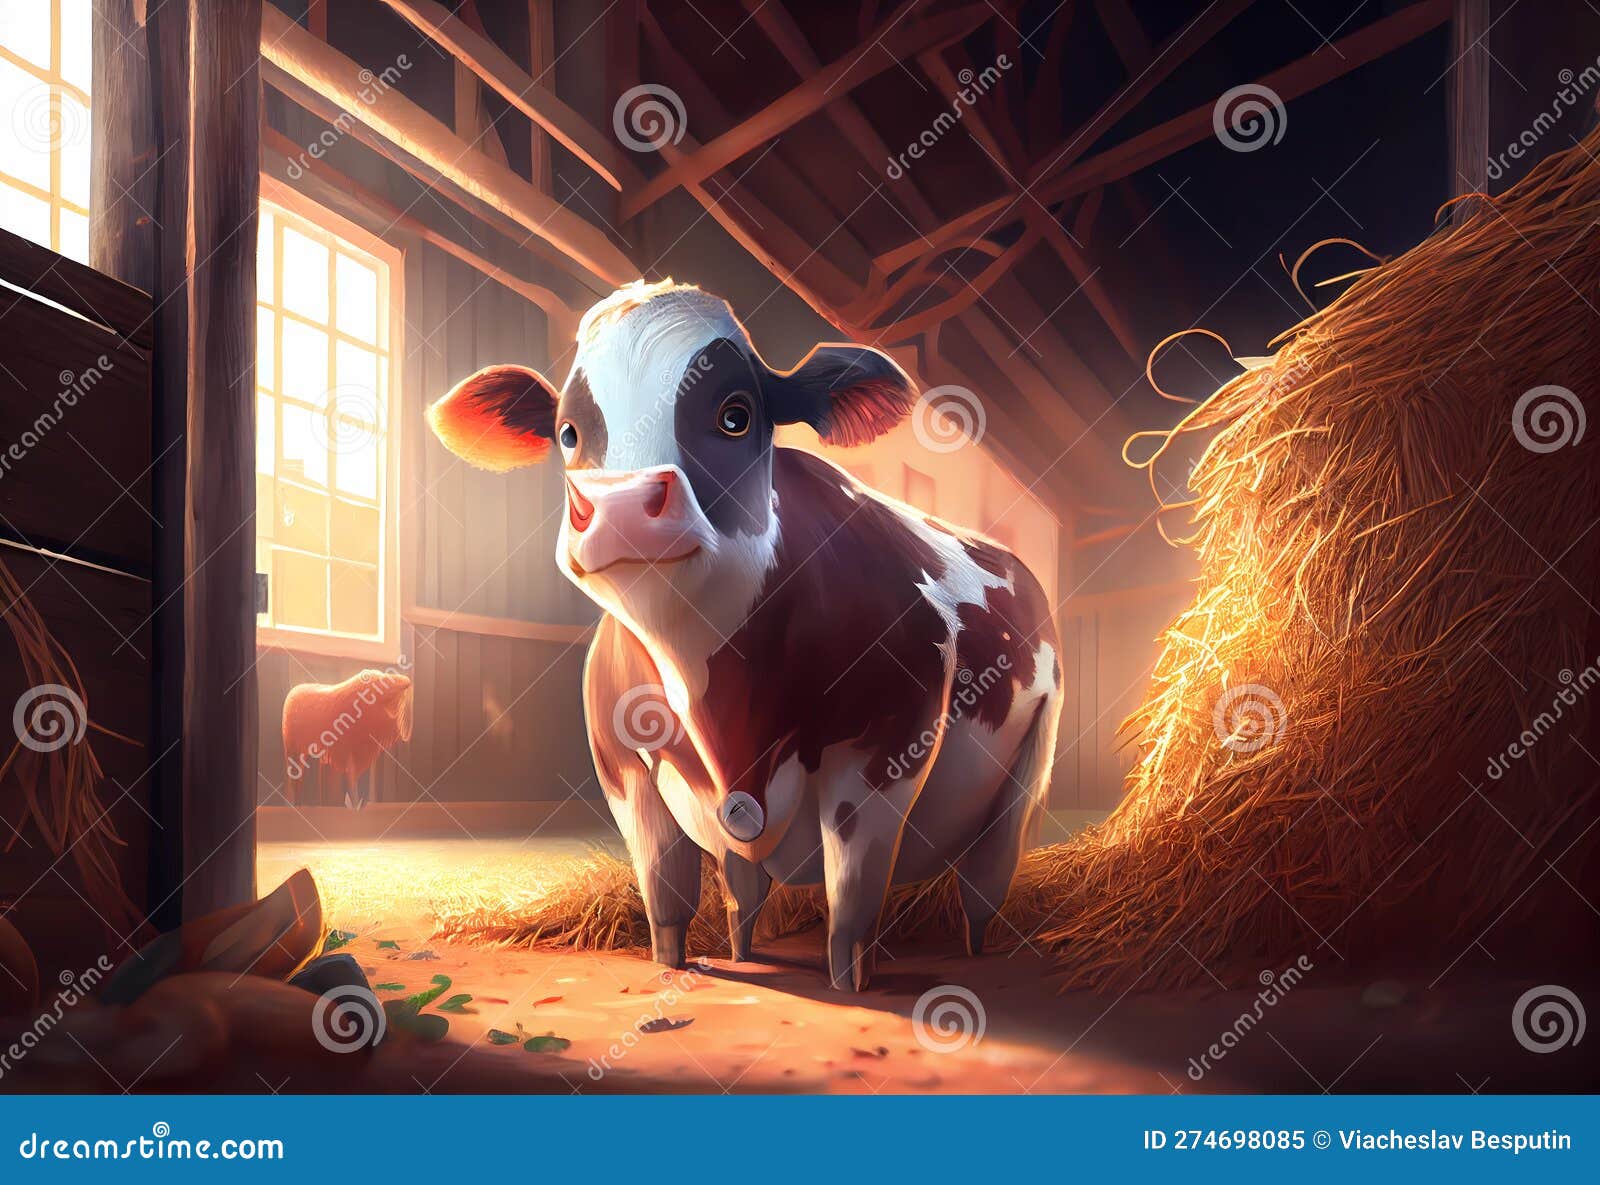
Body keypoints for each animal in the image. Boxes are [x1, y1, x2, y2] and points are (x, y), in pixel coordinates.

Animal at [427, 280, 1062, 991]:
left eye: (736, 415)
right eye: (567, 432)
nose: (621, 507)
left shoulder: (885, 749)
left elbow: (851, 907)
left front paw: (850, 986)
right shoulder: (622, 767)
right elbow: (669, 897)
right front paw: (681, 965)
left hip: (1028, 775)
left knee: (985, 882)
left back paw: (976, 949)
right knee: (743, 894)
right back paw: (743, 947)